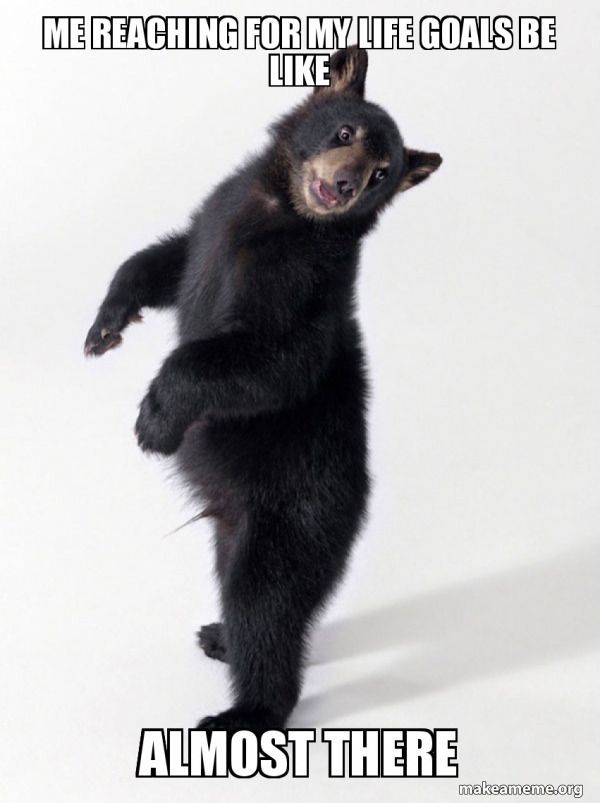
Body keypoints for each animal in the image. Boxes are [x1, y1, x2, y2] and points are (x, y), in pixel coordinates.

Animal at [84, 46, 441, 733]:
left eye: (383, 172)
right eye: (345, 132)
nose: (348, 184)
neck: (280, 212)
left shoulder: (300, 286)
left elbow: (269, 362)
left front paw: (154, 422)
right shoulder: (212, 220)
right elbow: (167, 260)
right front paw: (106, 324)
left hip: (289, 520)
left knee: (267, 604)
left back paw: (242, 712)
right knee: (267, 603)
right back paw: (220, 637)